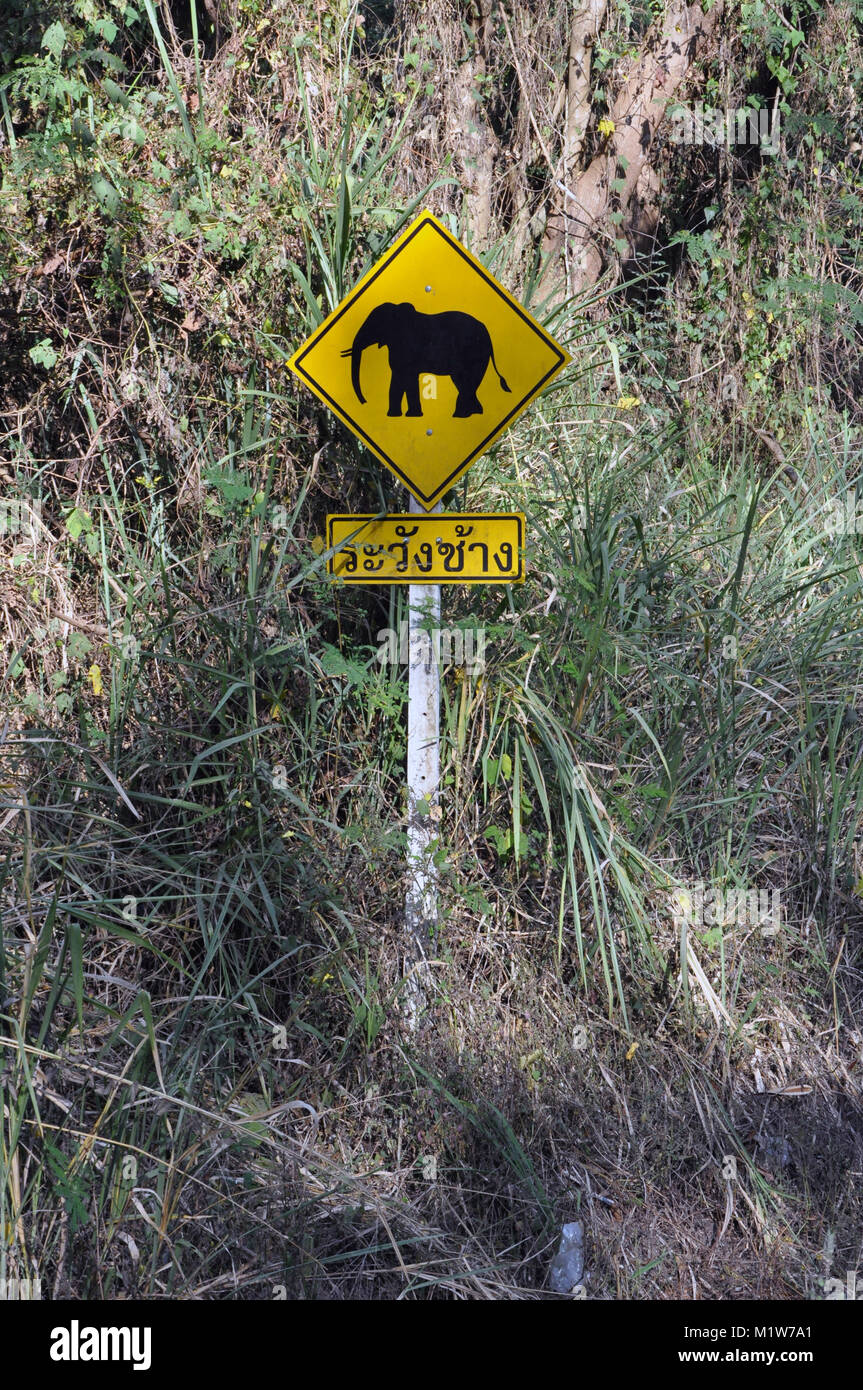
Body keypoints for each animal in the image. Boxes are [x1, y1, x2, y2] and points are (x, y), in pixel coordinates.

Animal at [341, 301, 511, 418]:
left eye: (374, 326)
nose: (364, 402)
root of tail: (486, 331)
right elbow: (398, 380)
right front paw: (396, 416)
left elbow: (407, 379)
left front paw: (411, 416)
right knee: (464, 382)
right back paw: (474, 413)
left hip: (475, 352)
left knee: (467, 382)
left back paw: (461, 415)